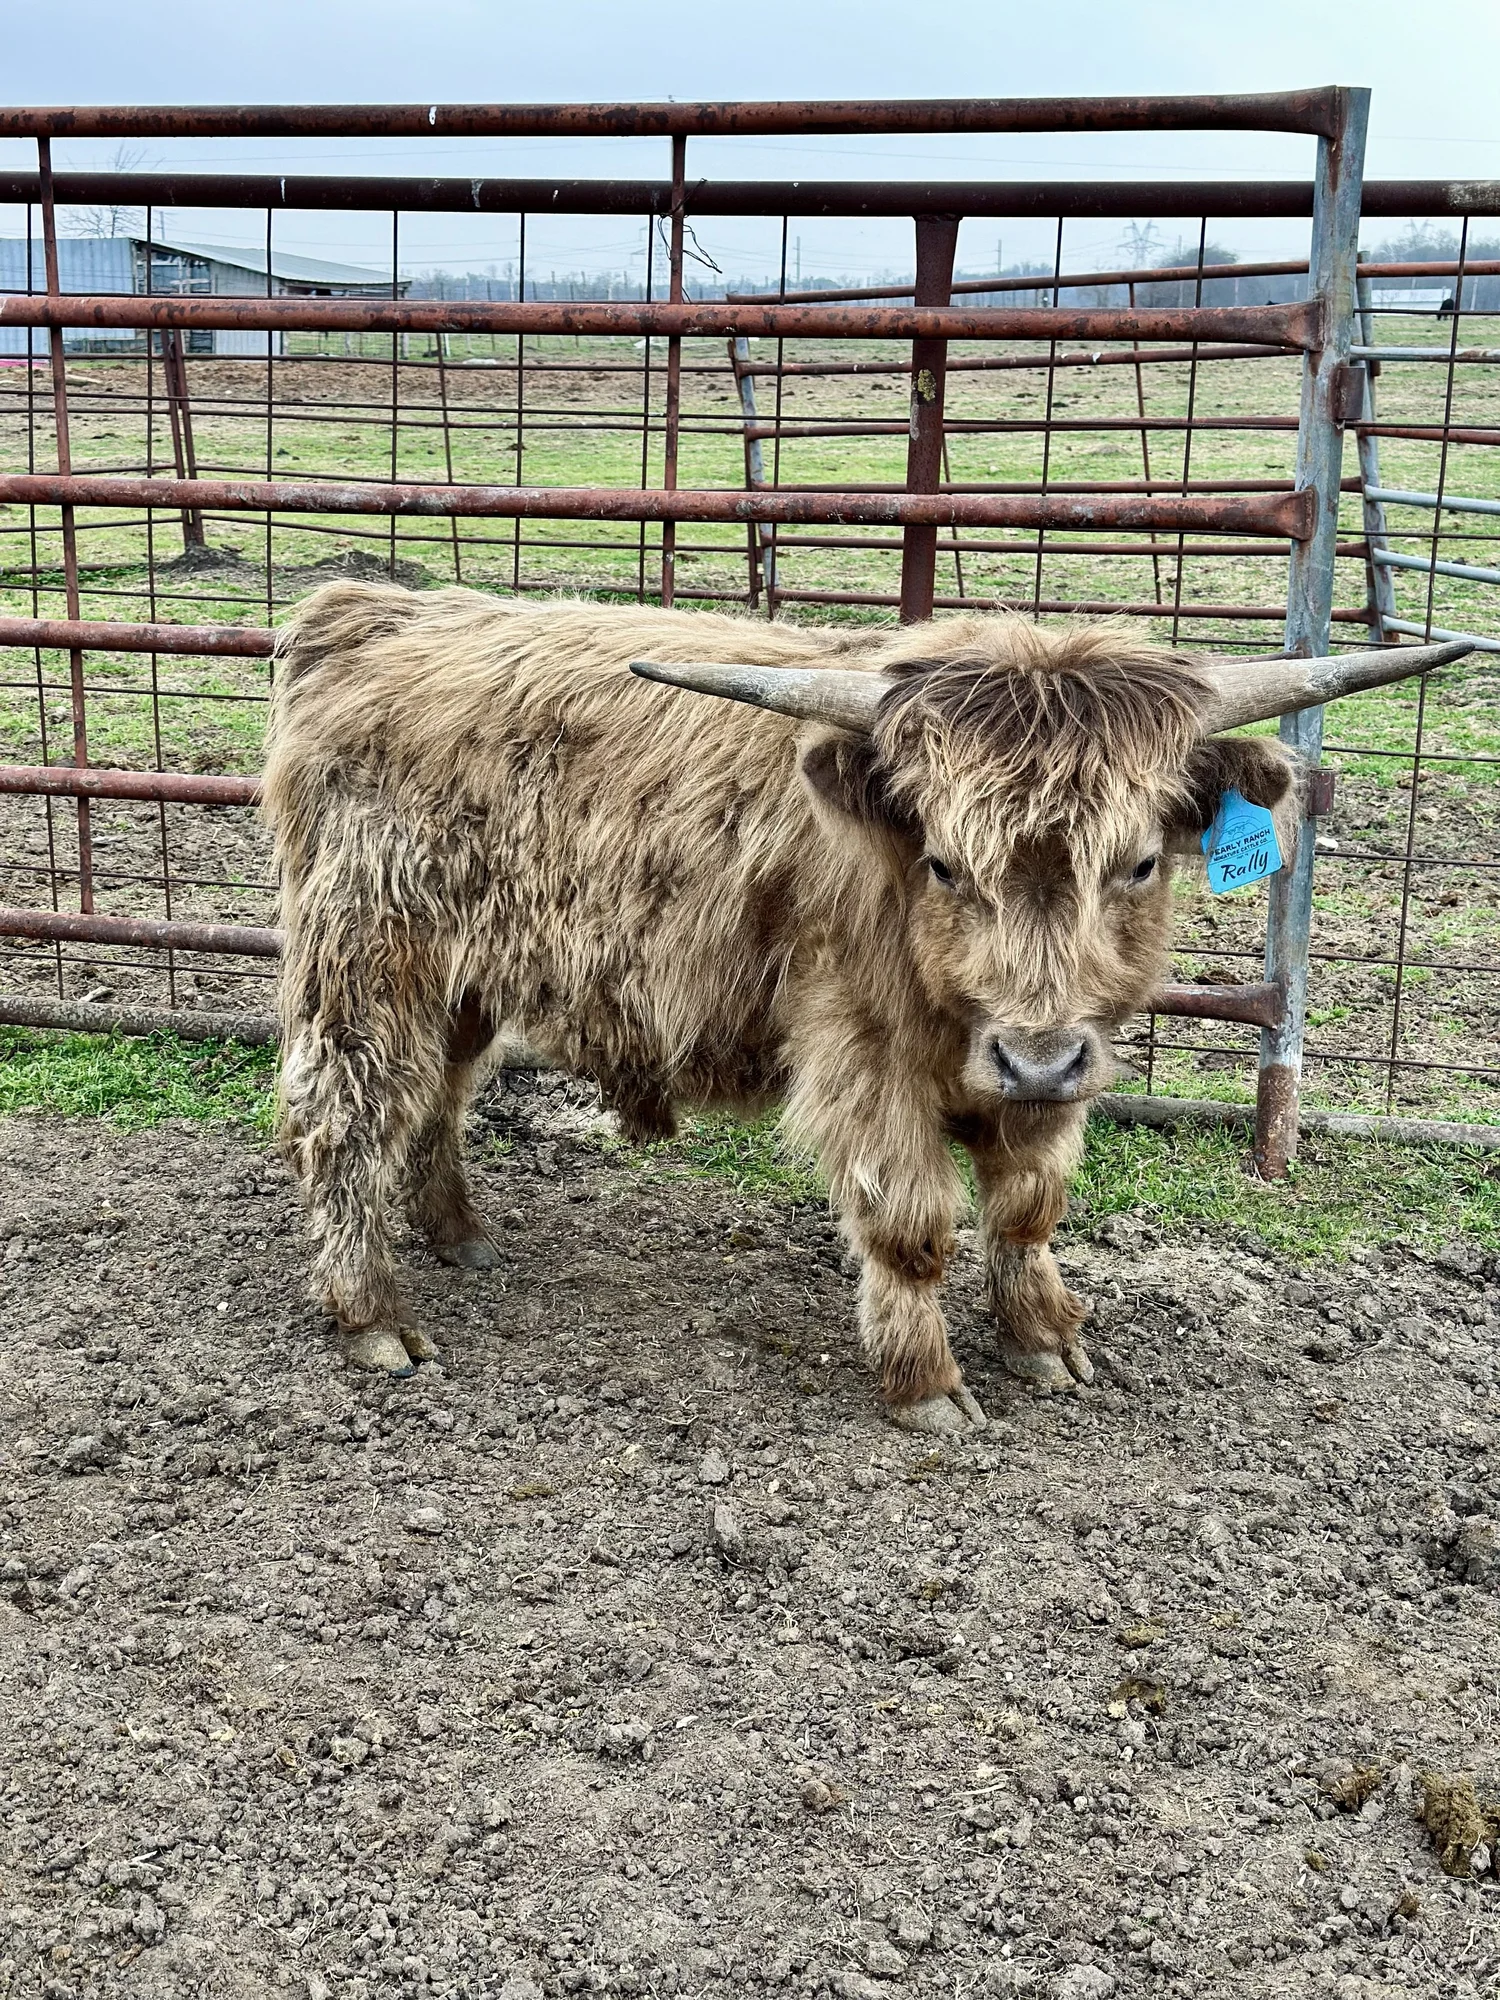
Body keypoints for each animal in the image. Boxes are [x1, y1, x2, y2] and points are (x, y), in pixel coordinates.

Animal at [263, 583, 1462, 1435]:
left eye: (1137, 863)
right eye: (941, 863)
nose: (1032, 1060)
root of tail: (373, 612)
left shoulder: (1068, 1066)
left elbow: (1029, 1207)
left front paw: (1044, 1340)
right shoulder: (861, 1052)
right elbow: (912, 1222)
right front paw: (926, 1382)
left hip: (465, 976)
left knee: (439, 1096)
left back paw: (460, 1234)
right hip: (369, 958)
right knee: (347, 1113)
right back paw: (372, 1315)